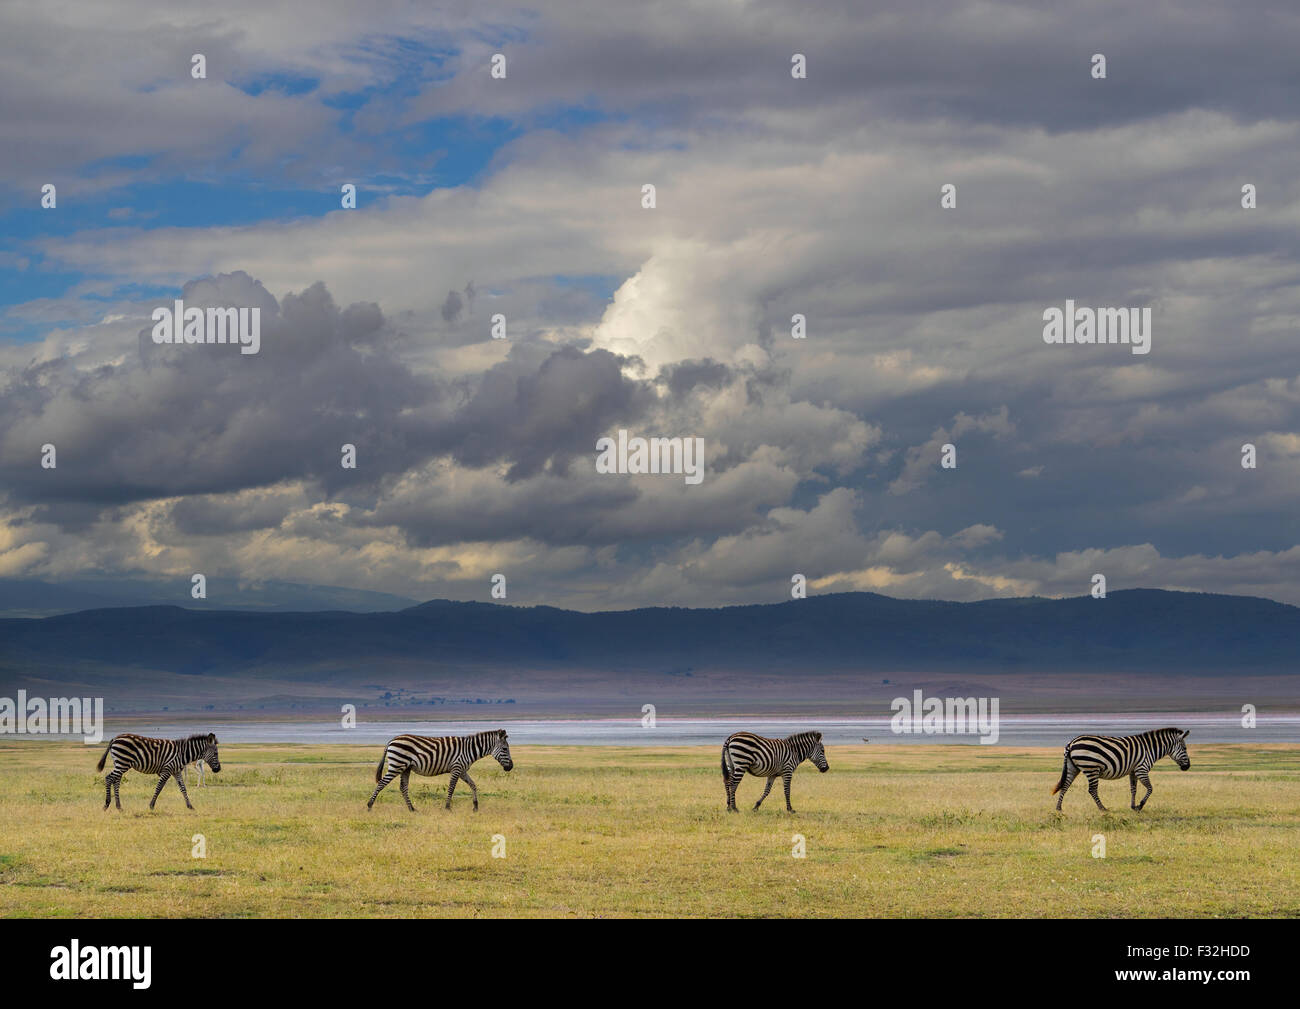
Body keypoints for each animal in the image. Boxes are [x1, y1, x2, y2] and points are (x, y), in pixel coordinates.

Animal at [367, 730, 513, 812]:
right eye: (505, 749)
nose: (510, 767)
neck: (469, 750)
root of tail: (391, 740)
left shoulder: (462, 770)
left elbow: (473, 785)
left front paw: (475, 806)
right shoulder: (456, 768)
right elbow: (451, 788)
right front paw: (447, 807)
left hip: (405, 768)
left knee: (403, 787)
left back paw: (412, 809)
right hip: (397, 764)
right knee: (381, 783)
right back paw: (369, 806)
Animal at [1052, 727, 1190, 812]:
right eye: (1184, 748)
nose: (1187, 767)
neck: (1150, 749)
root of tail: (1071, 743)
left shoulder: (1133, 771)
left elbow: (1133, 789)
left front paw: (1133, 806)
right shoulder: (1142, 769)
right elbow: (1150, 788)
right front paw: (1140, 805)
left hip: (1073, 767)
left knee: (1065, 786)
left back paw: (1059, 808)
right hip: (1091, 768)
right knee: (1092, 790)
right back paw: (1103, 808)